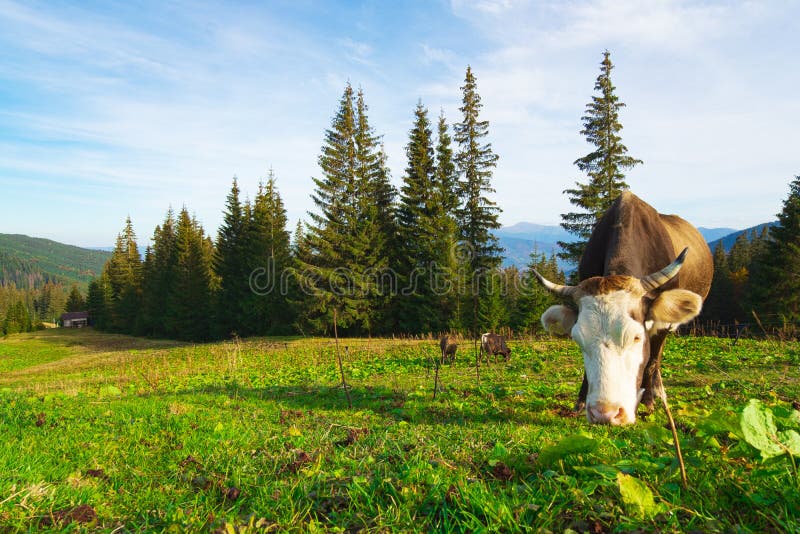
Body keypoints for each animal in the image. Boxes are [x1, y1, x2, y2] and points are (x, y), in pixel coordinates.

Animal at [533, 191, 713, 425]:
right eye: (578, 340)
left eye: (636, 337)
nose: (605, 413)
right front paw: (580, 402)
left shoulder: (660, 323)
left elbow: (652, 360)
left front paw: (648, 401)